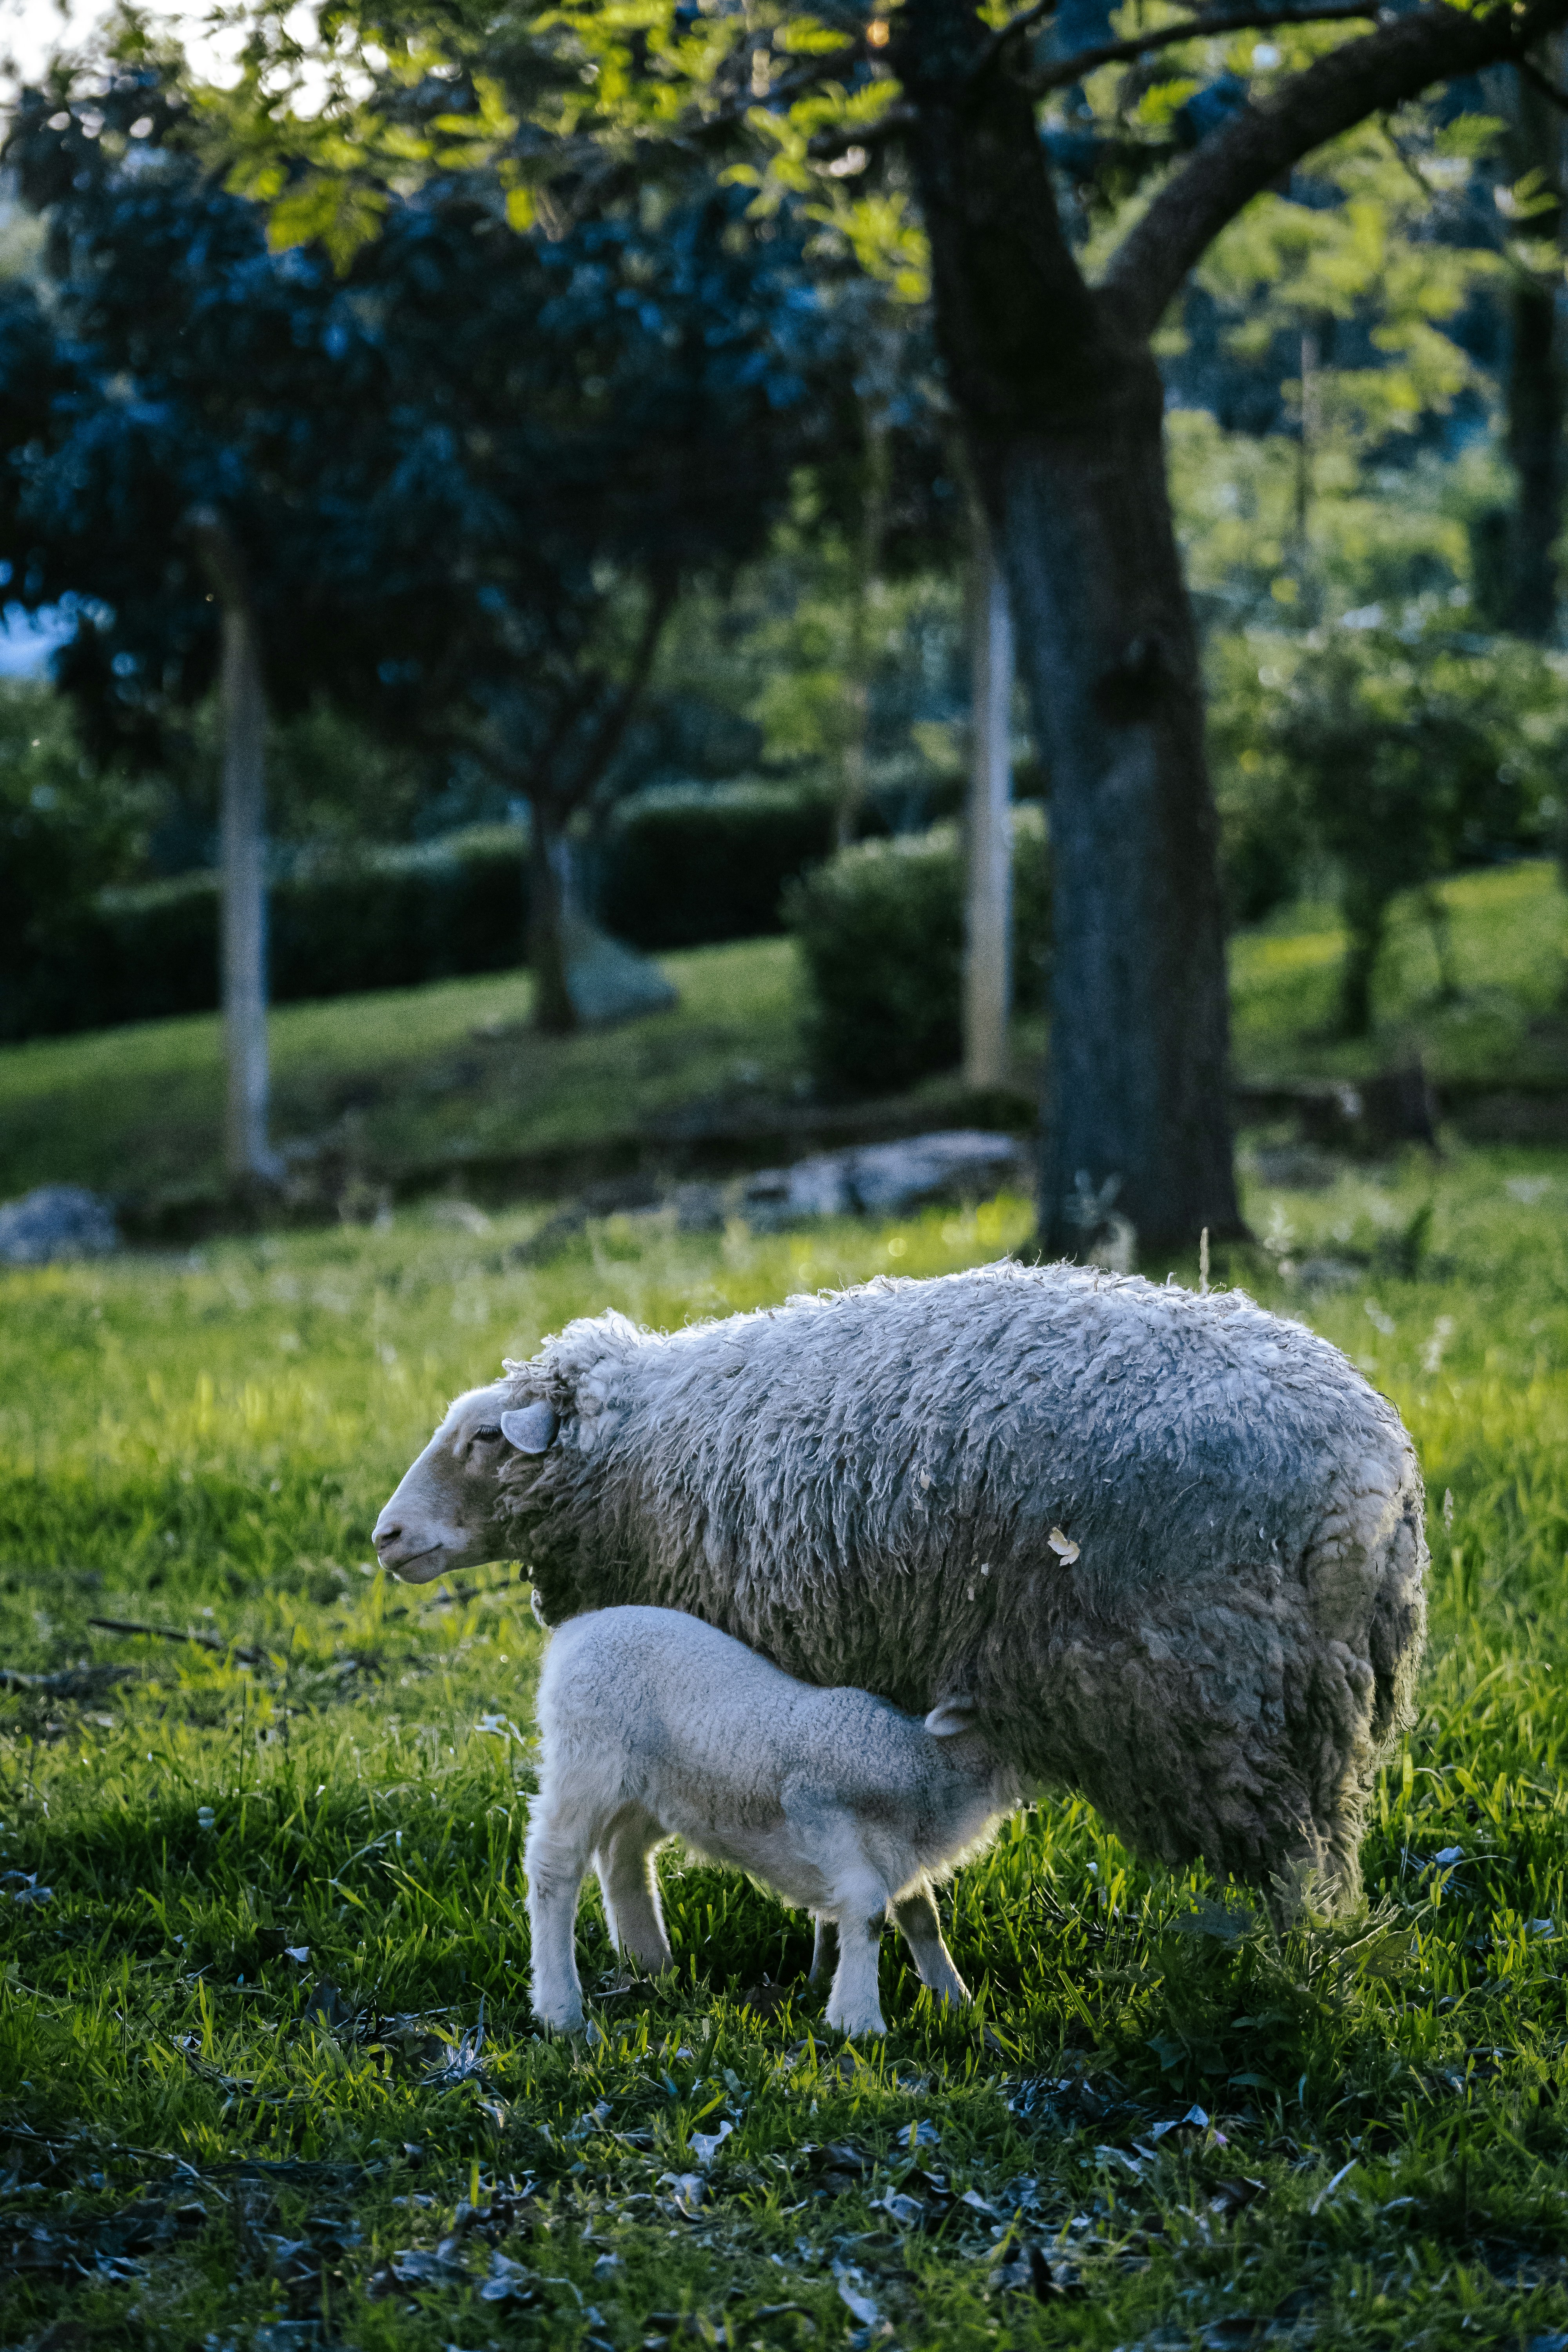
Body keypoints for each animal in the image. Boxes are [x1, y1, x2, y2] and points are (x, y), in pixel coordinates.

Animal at [374, 1261, 1427, 1913]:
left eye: (482, 1437)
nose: (385, 1537)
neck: (638, 1452)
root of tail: (1371, 1487)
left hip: (1222, 1694)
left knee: (1287, 1863)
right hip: (1316, 1704)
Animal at [525, 1604, 1021, 2035]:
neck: (924, 1757)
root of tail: (579, 1626)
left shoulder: (897, 1847)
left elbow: (920, 1914)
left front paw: (955, 2000)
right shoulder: (816, 1811)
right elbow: (867, 1909)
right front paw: (858, 2021)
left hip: (656, 1787)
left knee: (621, 1855)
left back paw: (652, 1965)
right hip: (588, 1754)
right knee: (555, 1863)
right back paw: (561, 2009)